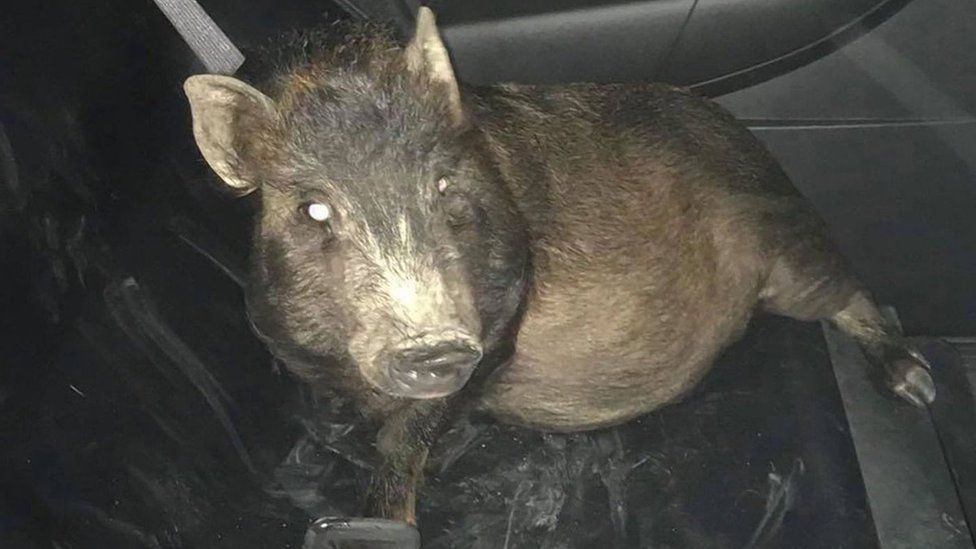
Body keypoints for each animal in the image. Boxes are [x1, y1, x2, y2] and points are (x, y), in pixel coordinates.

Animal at [182, 7, 935, 546]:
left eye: (446, 184)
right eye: (314, 208)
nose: (434, 344)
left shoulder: (499, 312)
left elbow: (408, 437)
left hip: (787, 248)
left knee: (856, 292)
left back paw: (918, 386)